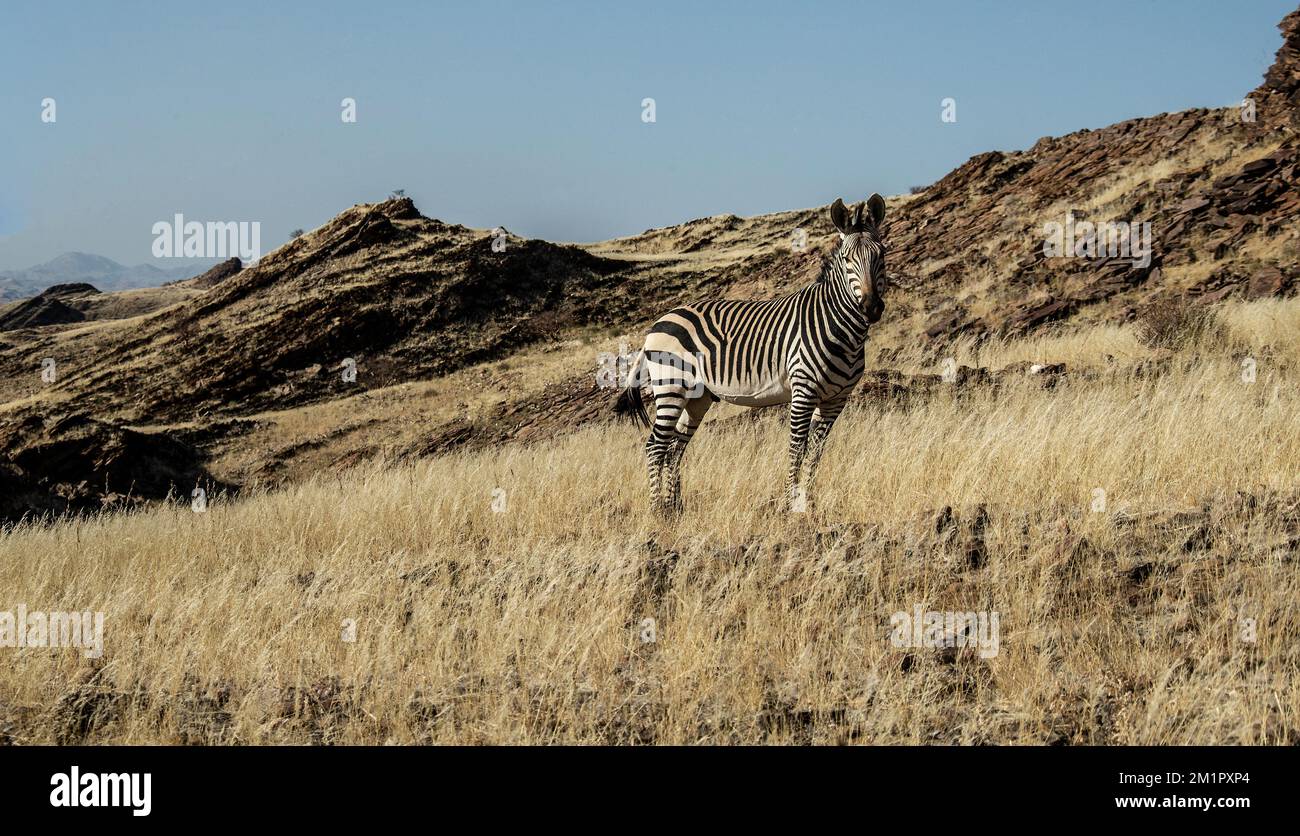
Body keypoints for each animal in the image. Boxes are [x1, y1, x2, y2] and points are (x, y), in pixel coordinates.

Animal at [614, 195, 889, 514]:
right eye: (847, 260)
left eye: (881, 254)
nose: (871, 307)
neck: (841, 329)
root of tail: (658, 323)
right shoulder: (803, 392)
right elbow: (797, 448)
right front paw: (791, 504)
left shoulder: (836, 400)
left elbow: (816, 452)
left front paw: (807, 501)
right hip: (671, 387)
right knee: (655, 446)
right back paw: (657, 509)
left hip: (697, 397)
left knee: (674, 447)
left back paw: (675, 507)